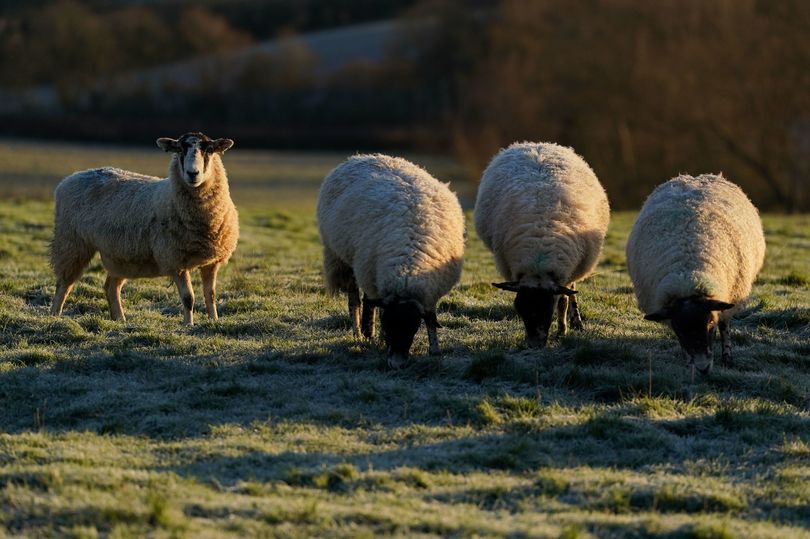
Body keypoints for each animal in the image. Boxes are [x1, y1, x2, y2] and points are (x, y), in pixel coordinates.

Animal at [50, 132, 239, 325]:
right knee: (64, 284)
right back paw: (54, 315)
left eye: (209, 150)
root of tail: (72, 176)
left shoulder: (212, 261)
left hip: (120, 256)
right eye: (179, 150)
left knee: (111, 287)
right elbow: (188, 298)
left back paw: (120, 320)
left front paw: (214, 321)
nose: (193, 173)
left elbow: (211, 295)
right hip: (71, 242)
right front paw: (188, 324)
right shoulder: (175, 260)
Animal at [317, 154, 465, 369]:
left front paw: (435, 350)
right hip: (342, 258)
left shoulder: (428, 292)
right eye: (388, 326)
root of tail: (360, 156)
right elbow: (373, 307)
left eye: (413, 327)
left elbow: (431, 318)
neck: (408, 271)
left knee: (368, 301)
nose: (397, 364)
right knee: (355, 300)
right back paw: (359, 334)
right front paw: (375, 337)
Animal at [474, 142, 610, 347]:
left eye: (548, 307)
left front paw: (562, 331)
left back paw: (576, 321)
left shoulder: (564, 275)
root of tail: (536, 144)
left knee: (572, 291)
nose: (534, 345)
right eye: (519, 307)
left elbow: (563, 301)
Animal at [626, 173, 765, 374]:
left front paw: (727, 358)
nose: (703, 369)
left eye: (709, 323)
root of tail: (695, 177)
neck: (688, 273)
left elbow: (724, 326)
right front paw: (688, 363)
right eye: (679, 329)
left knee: (726, 324)